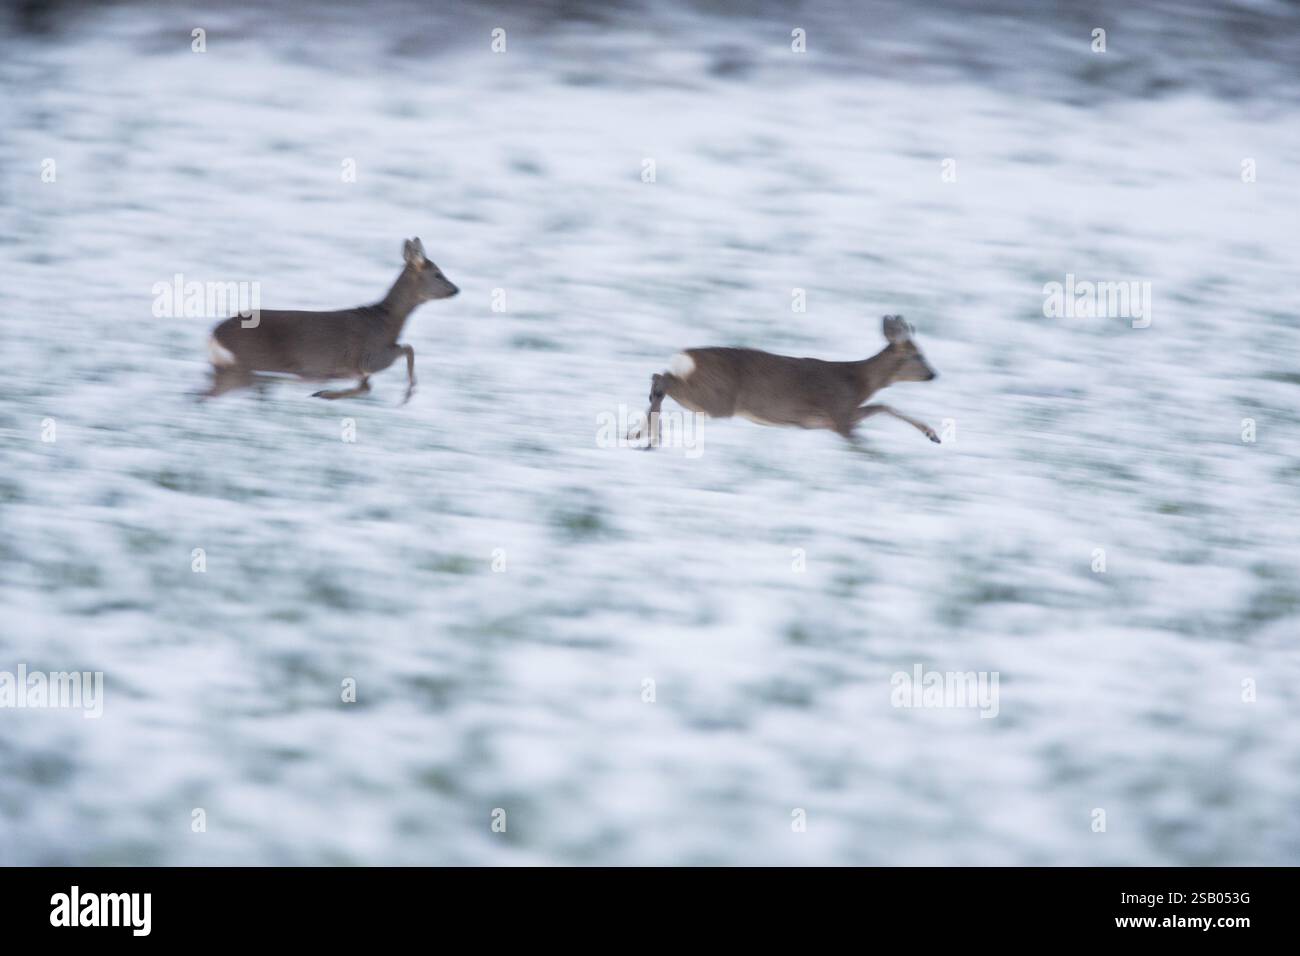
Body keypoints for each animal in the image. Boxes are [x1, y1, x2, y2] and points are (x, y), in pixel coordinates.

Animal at [203, 238, 458, 403]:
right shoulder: (372, 357)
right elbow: (408, 349)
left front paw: (325, 394)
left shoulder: (362, 368)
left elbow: (366, 386)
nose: (456, 289)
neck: (386, 323)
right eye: (438, 274)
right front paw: (408, 393)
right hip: (249, 363)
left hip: (231, 367)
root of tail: (214, 335)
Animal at [630, 315, 941, 448]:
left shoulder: (831, 419)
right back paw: (650, 438)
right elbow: (863, 437)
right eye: (917, 355)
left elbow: (884, 406)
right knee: (662, 379)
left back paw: (637, 434)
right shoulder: (840, 416)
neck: (858, 382)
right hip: (718, 401)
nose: (933, 374)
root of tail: (684, 356)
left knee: (657, 377)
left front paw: (933, 435)